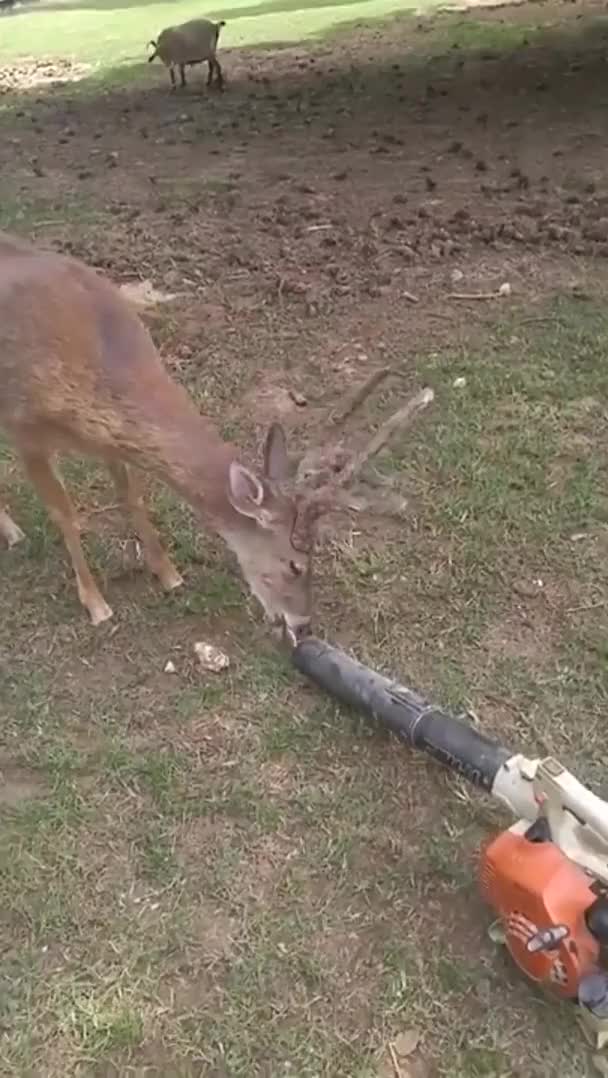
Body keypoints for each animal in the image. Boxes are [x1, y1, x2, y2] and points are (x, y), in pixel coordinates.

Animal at [0, 231, 433, 643]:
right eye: (295, 563)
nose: (304, 625)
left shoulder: (108, 442)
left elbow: (132, 497)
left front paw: (168, 573)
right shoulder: (26, 429)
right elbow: (66, 516)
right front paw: (96, 604)